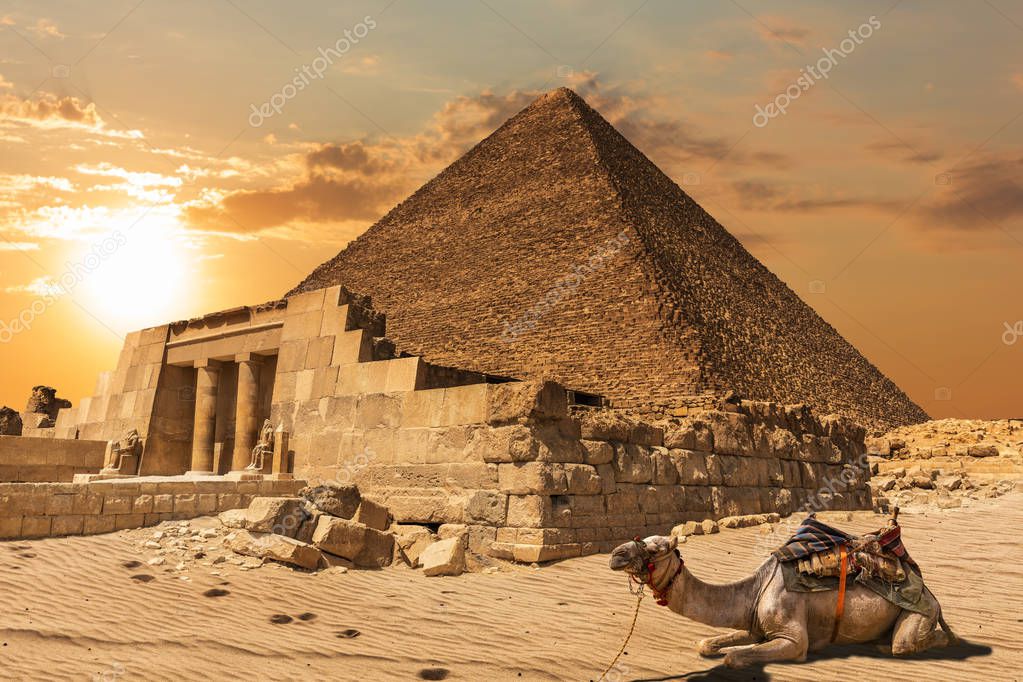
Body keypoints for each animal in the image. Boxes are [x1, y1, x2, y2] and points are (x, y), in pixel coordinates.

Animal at [608, 535, 956, 668]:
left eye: (656, 549)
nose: (616, 554)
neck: (757, 588)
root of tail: (930, 593)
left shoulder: (793, 637)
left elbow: (733, 657)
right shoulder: (753, 622)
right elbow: (706, 644)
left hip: (920, 614)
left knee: (910, 643)